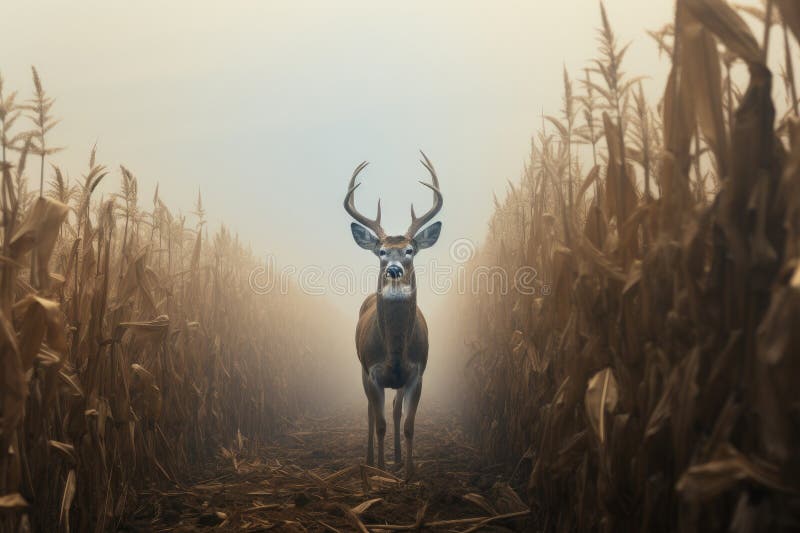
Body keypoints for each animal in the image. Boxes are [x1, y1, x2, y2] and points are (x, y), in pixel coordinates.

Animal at [343, 152, 443, 478]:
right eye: (381, 251)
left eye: (410, 249)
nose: (394, 270)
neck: (395, 351)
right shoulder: (372, 372)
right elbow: (380, 423)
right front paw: (380, 470)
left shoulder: (417, 373)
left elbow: (408, 424)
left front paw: (408, 472)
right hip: (362, 370)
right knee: (371, 414)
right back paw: (371, 459)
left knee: (397, 412)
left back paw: (398, 459)